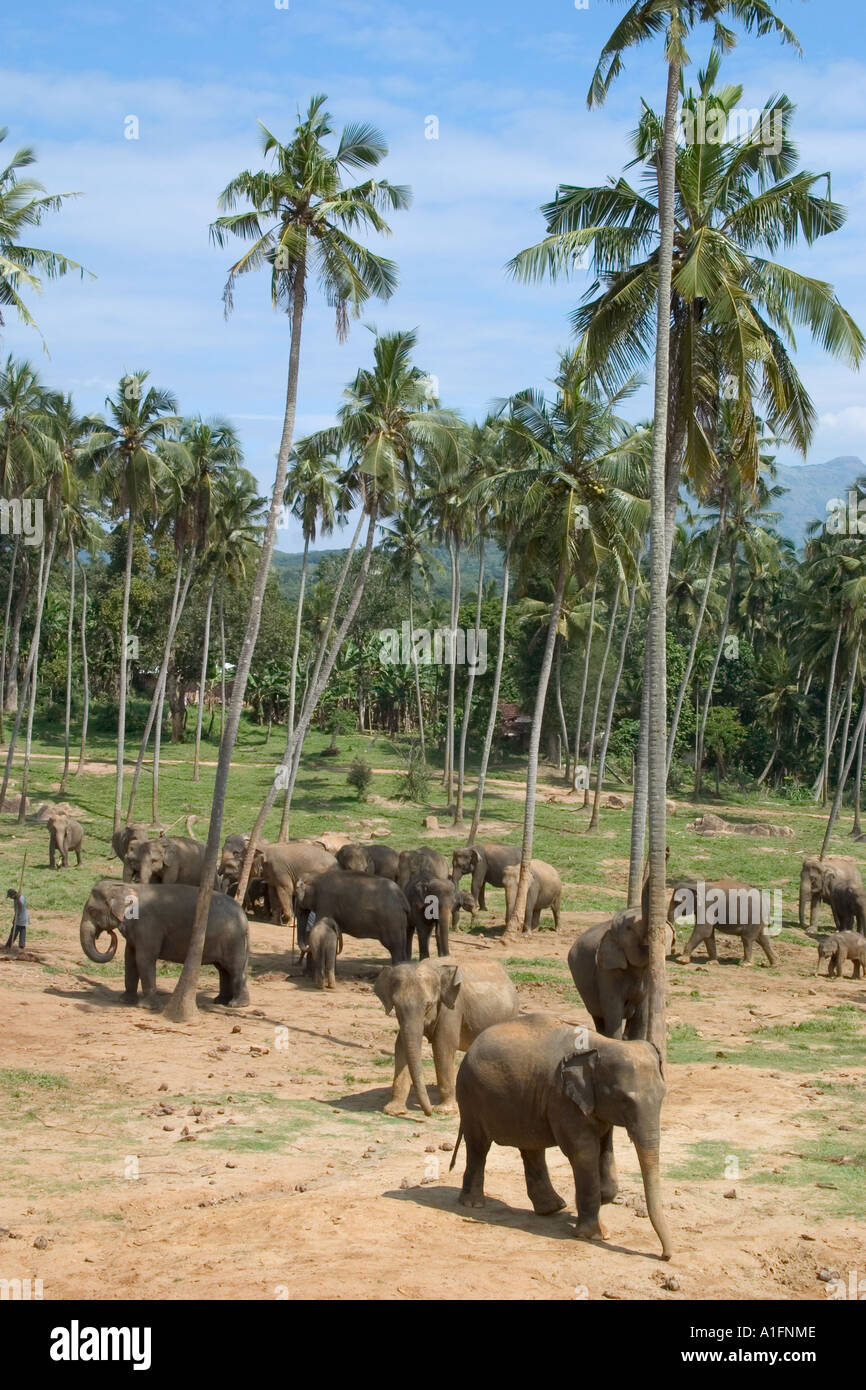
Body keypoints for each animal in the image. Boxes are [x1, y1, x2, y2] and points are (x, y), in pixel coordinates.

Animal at [79, 879, 249, 1007]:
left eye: (92, 911)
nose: (109, 933)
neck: (127, 886)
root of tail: (245, 918)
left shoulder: (148, 925)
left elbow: (144, 959)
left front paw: (146, 1006)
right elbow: (130, 959)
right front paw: (124, 1000)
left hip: (233, 940)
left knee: (234, 967)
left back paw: (236, 1004)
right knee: (223, 969)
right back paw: (220, 1001)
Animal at [374, 957, 518, 1116]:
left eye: (428, 1005)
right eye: (396, 1005)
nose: (428, 1113)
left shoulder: (451, 1011)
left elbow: (442, 1046)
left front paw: (444, 1110)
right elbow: (400, 1046)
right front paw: (394, 1111)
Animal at [450, 1012, 672, 1258]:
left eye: (663, 1095)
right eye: (625, 1099)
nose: (665, 1256)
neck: (602, 1046)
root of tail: (471, 1047)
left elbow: (604, 1147)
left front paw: (603, 1203)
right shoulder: (563, 1099)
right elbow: (584, 1153)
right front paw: (592, 1235)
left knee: (531, 1148)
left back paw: (552, 1209)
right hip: (470, 1096)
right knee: (479, 1146)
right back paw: (473, 1205)